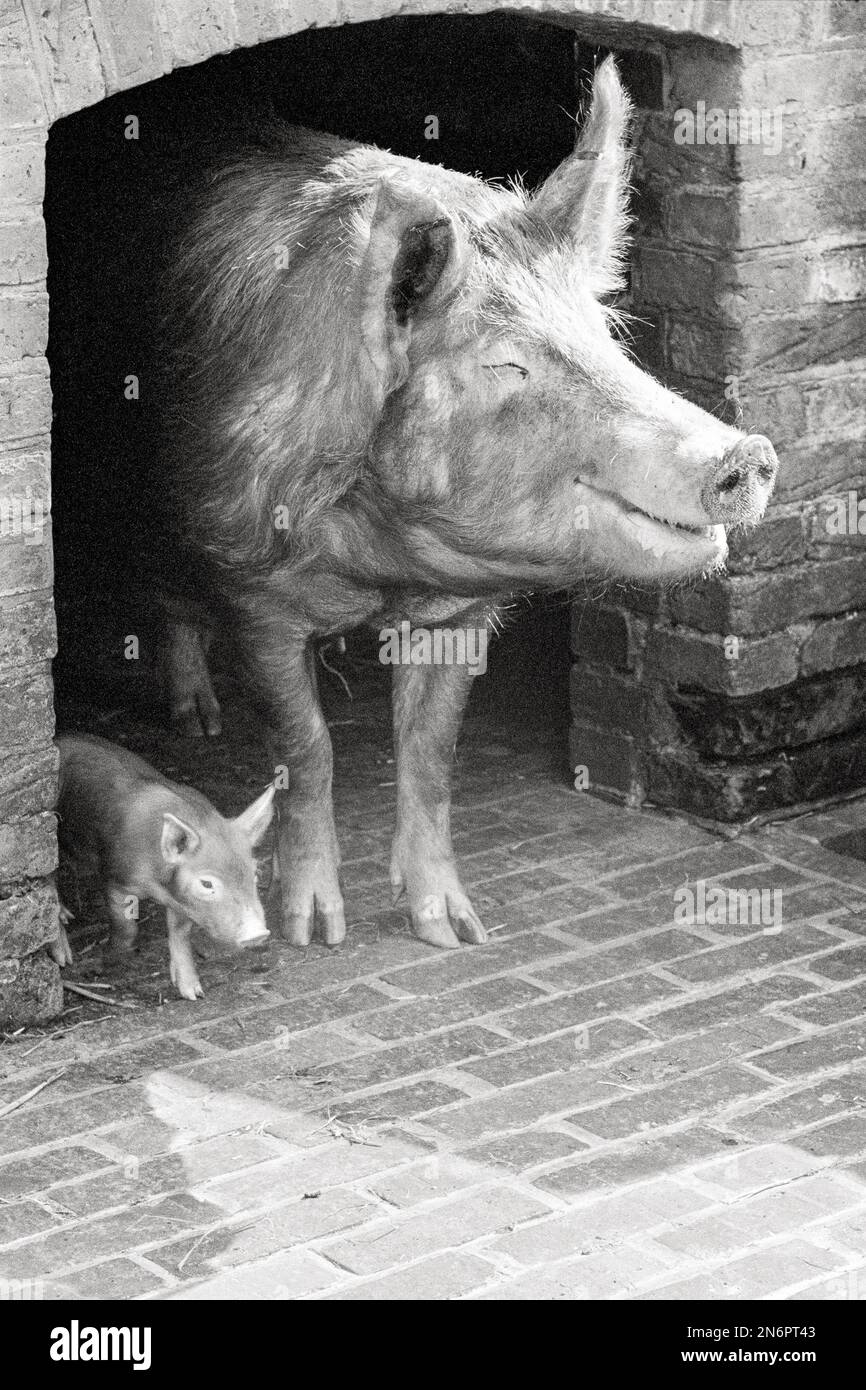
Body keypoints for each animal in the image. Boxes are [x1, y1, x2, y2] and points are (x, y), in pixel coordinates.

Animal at [51, 734, 275, 999]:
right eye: (206, 883)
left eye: (255, 874)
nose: (258, 933)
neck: (160, 887)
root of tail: (60, 738)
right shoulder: (116, 879)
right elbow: (126, 927)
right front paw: (110, 957)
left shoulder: (183, 900)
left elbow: (180, 933)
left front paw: (193, 993)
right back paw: (64, 951)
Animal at [155, 59, 778, 953]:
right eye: (504, 364)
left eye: (603, 335)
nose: (747, 454)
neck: (385, 567)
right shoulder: (252, 585)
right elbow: (305, 748)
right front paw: (315, 935)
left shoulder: (462, 611)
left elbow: (432, 755)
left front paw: (457, 934)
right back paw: (194, 724)